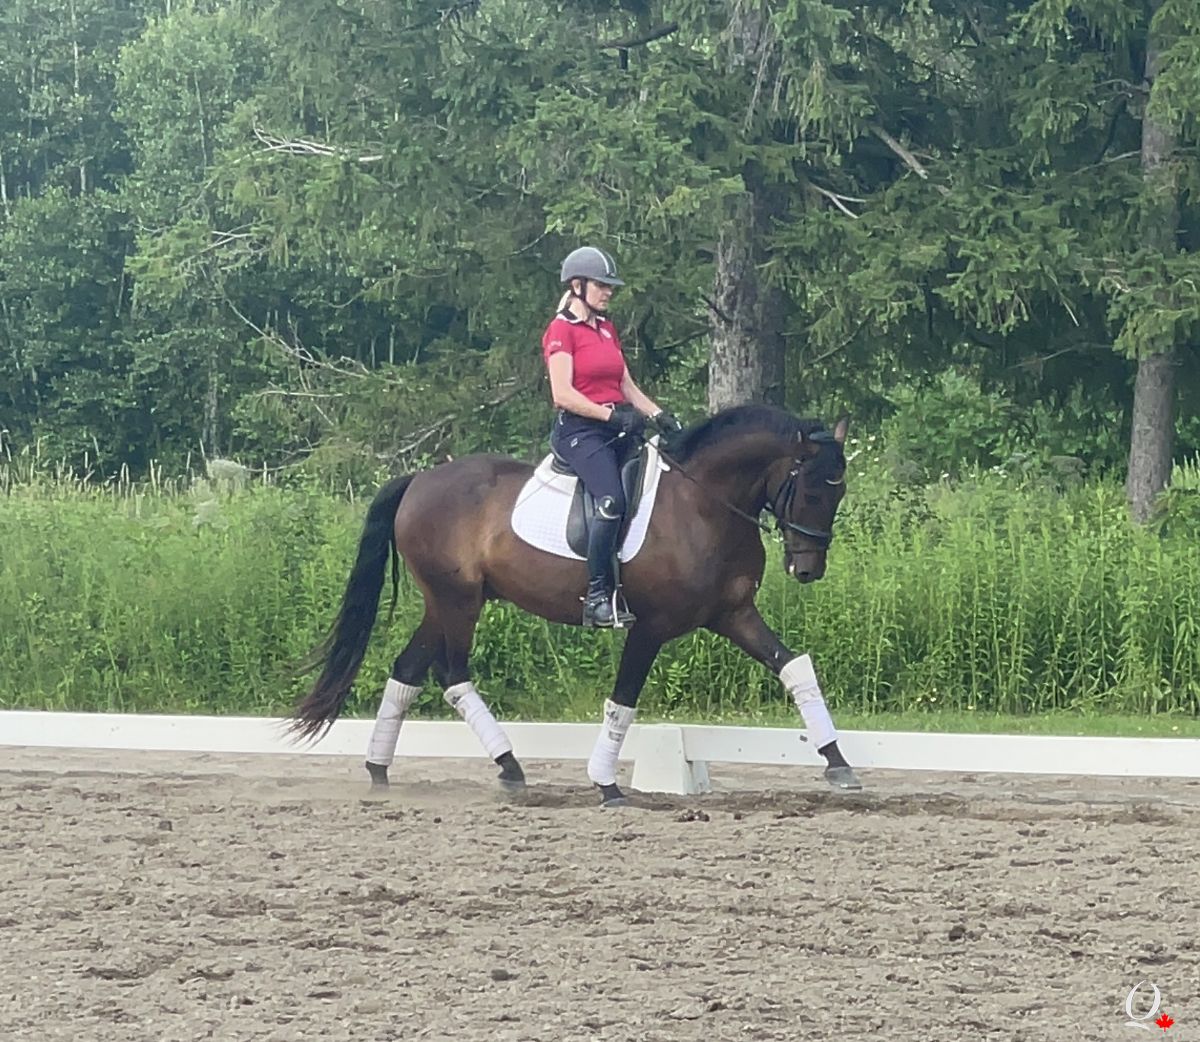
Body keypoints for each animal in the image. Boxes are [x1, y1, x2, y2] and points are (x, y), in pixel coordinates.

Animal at [290, 403, 861, 805]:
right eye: (811, 491)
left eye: (838, 493)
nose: (807, 570)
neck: (703, 505)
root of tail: (420, 480)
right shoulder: (651, 626)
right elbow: (623, 699)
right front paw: (606, 784)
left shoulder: (733, 615)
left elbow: (794, 668)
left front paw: (838, 764)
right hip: (456, 601)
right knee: (451, 673)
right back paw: (509, 767)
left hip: (446, 601)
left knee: (409, 668)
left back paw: (381, 771)